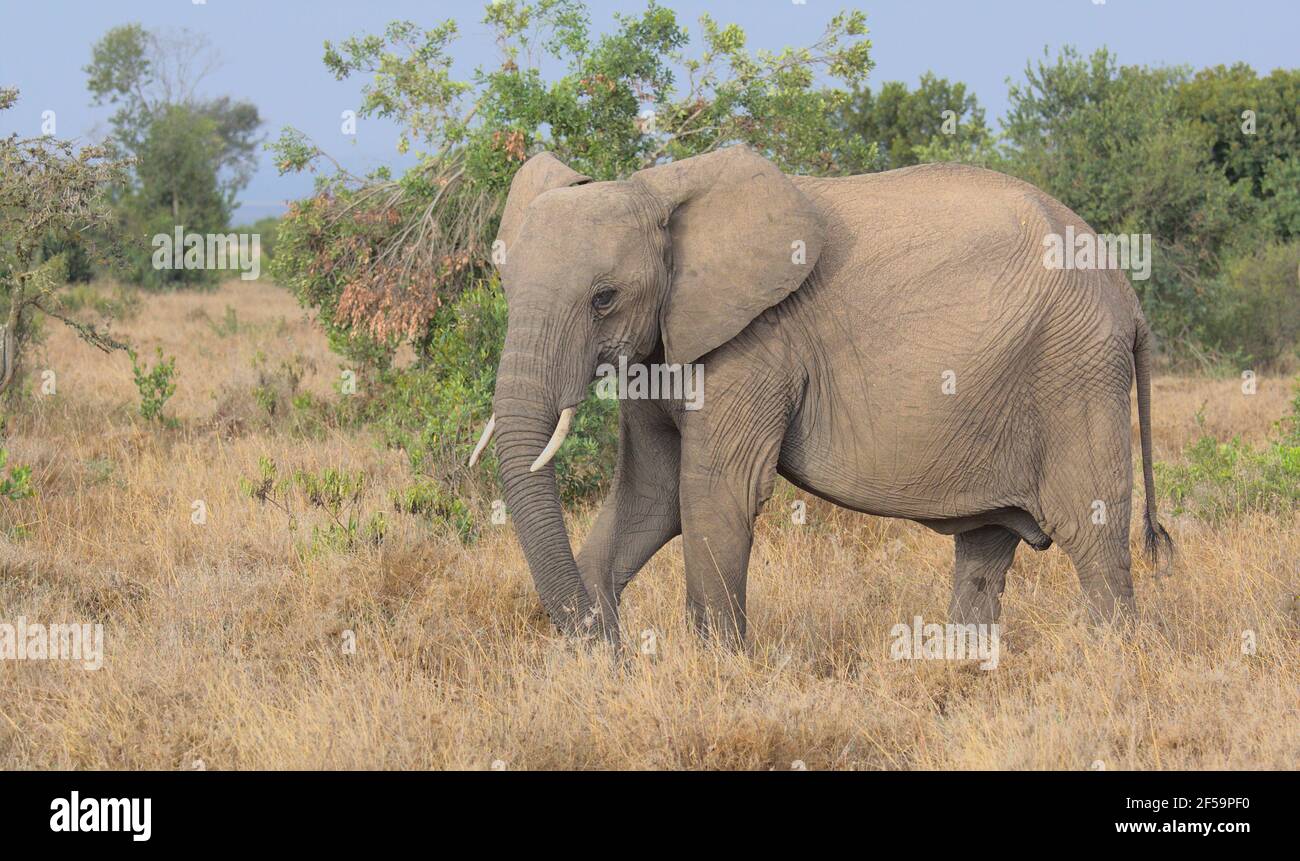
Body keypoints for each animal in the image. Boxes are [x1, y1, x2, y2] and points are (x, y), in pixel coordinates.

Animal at [471, 145, 1172, 645]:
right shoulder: (665, 340)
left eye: (604, 298)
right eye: (505, 287)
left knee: (1091, 534)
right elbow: (651, 495)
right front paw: (602, 660)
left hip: (1074, 372)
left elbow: (713, 491)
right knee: (985, 545)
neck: (660, 186)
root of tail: (1127, 293)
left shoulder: (758, 341)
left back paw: (1111, 661)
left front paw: (717, 672)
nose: (592, 637)